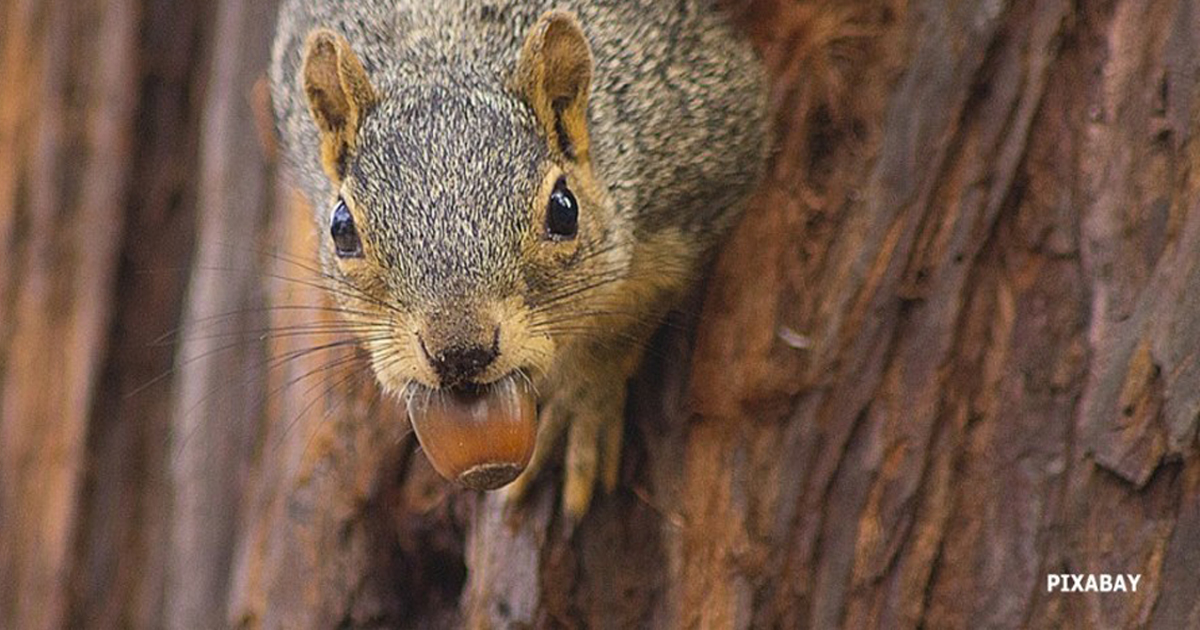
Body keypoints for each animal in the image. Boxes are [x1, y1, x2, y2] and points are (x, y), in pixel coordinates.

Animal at [270, 0, 768, 519]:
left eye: (564, 210)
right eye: (341, 229)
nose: (460, 352)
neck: (446, 47)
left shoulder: (703, 142)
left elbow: (628, 319)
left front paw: (580, 401)